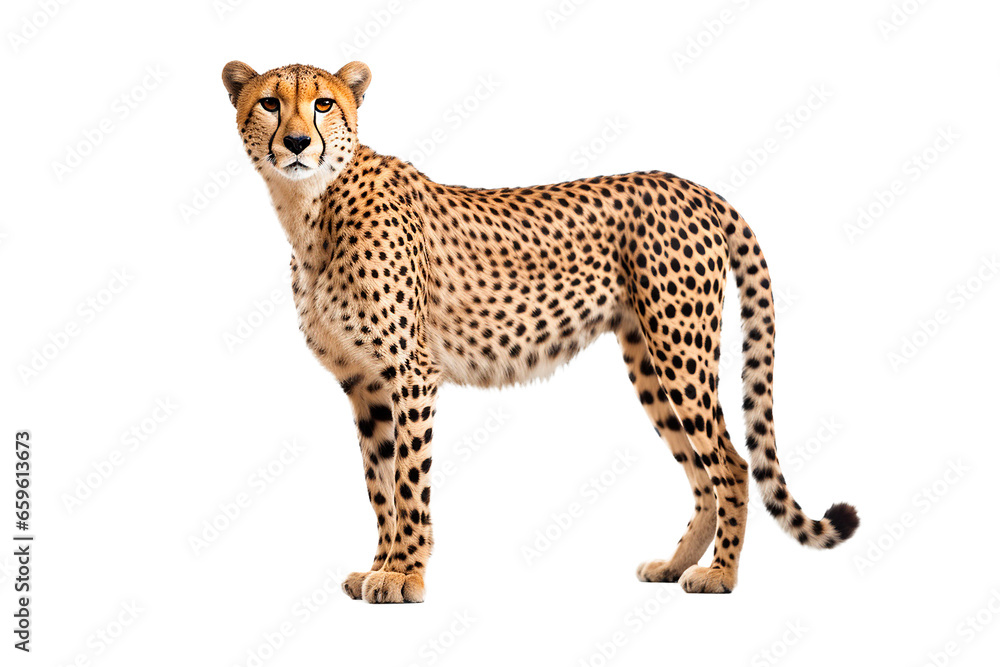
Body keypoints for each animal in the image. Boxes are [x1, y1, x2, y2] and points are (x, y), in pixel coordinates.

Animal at [221, 60, 859, 602]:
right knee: (702, 470)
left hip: (681, 347)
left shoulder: (410, 373)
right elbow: (380, 486)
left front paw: (404, 575)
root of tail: (692, 187)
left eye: (324, 103)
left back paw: (720, 574)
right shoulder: (365, 384)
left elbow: (407, 482)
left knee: (731, 462)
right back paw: (675, 565)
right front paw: (379, 567)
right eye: (271, 103)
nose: (297, 143)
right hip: (649, 359)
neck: (310, 209)